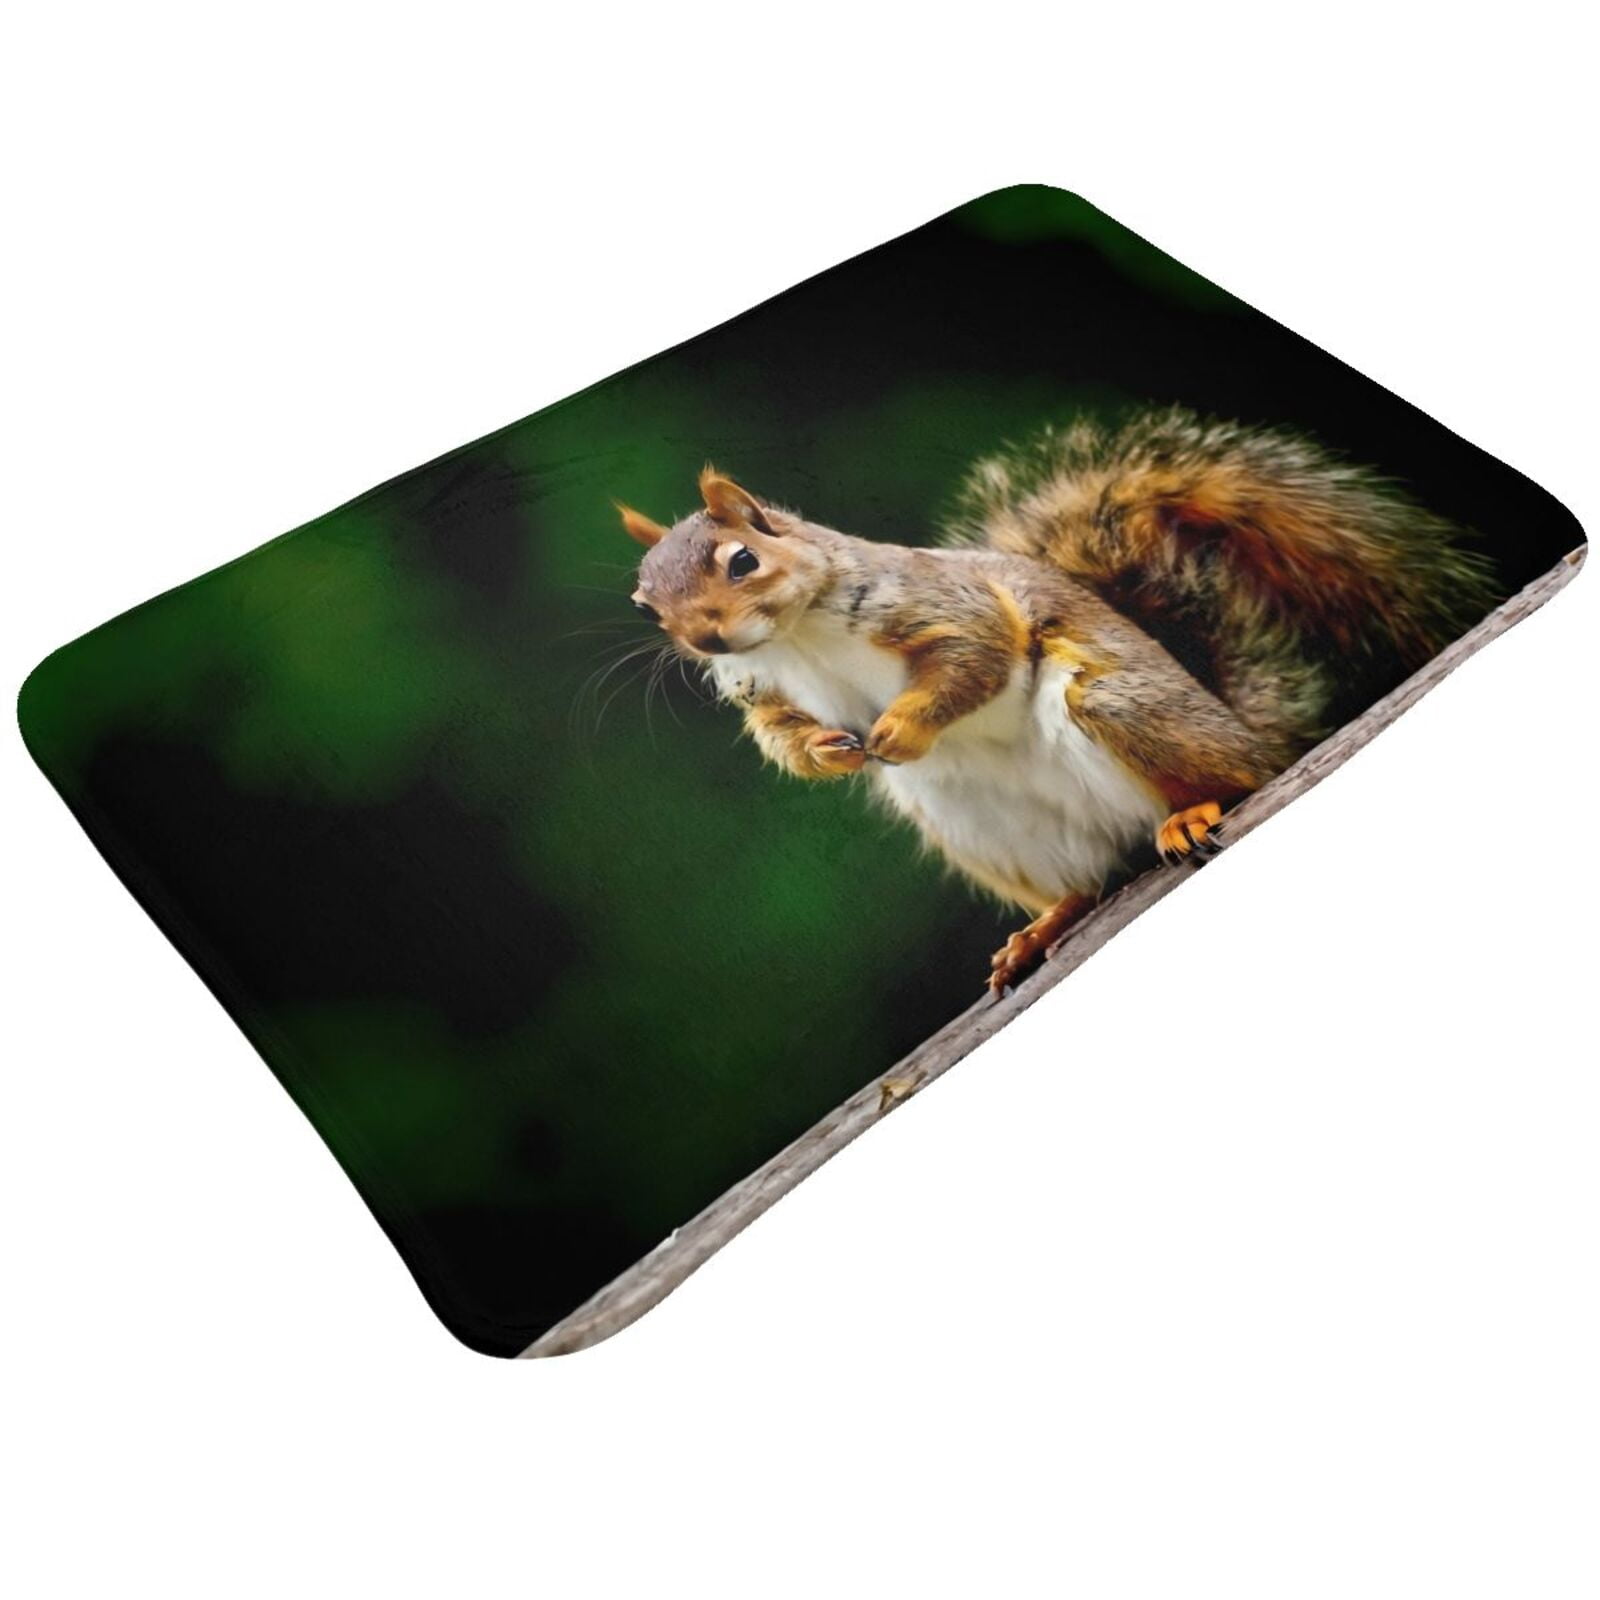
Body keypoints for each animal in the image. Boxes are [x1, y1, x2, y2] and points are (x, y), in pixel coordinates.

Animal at [617, 407, 1501, 994]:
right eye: (646, 604)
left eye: (740, 560)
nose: (705, 639)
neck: (795, 634)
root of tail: (1245, 727)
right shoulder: (763, 690)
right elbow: (783, 737)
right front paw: (832, 753)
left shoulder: (945, 605)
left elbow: (977, 657)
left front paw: (899, 727)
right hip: (973, 823)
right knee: (1090, 877)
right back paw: (1047, 922)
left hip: (1120, 705)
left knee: (1236, 775)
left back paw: (1196, 809)